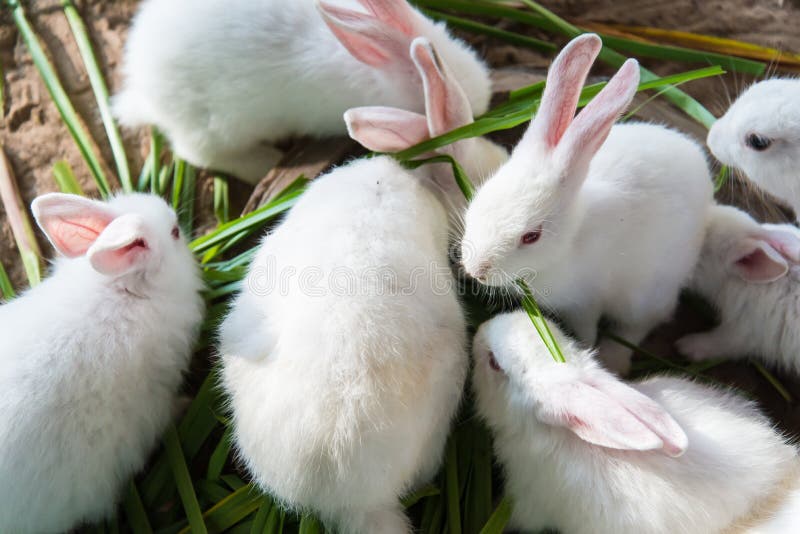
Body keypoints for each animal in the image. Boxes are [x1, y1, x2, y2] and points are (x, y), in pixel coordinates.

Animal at [113, 0, 492, 184]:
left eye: (441, 46)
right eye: (430, 69)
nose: (484, 96)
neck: (372, 69)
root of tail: (142, 91)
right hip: (215, 127)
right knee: (200, 154)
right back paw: (265, 162)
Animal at [459, 34, 714, 375]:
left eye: (531, 236)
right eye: (479, 197)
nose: (476, 271)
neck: (570, 242)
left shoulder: (585, 303)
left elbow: (587, 329)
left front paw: (585, 348)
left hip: (647, 292)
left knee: (640, 324)